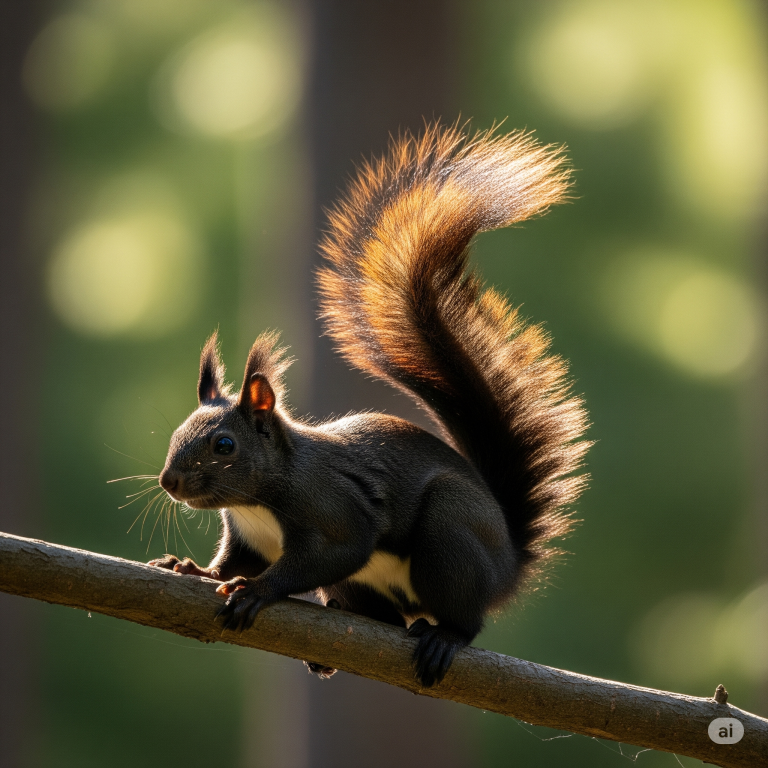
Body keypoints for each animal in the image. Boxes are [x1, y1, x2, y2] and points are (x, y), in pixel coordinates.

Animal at [148, 123, 590, 688]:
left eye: (224, 445)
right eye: (176, 433)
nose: (169, 482)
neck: (255, 501)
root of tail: (508, 562)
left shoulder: (334, 510)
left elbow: (331, 552)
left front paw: (259, 590)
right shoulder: (246, 538)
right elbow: (230, 564)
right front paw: (192, 569)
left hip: (451, 535)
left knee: (465, 617)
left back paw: (446, 636)